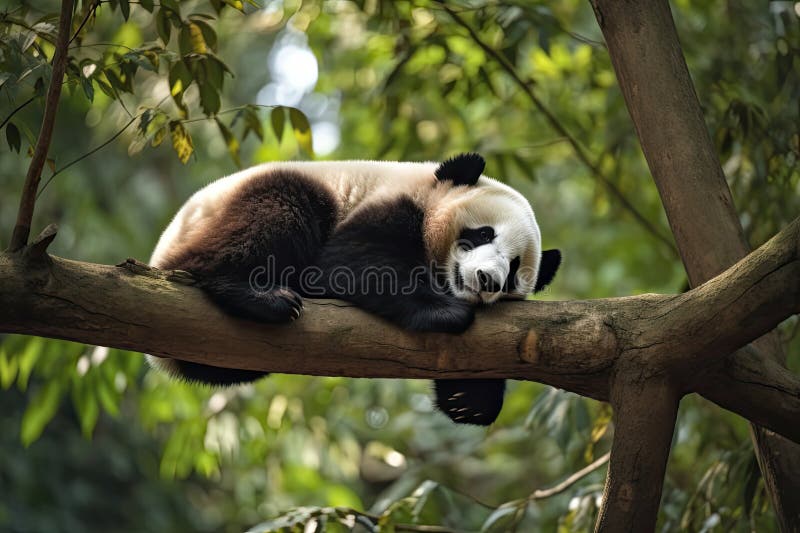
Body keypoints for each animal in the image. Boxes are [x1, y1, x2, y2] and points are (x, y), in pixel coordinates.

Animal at [147, 153, 560, 425]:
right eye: (483, 234)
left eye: (513, 271)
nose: (488, 280)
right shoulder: (390, 204)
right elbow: (350, 264)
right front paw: (444, 311)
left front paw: (468, 399)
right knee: (274, 211)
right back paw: (257, 295)